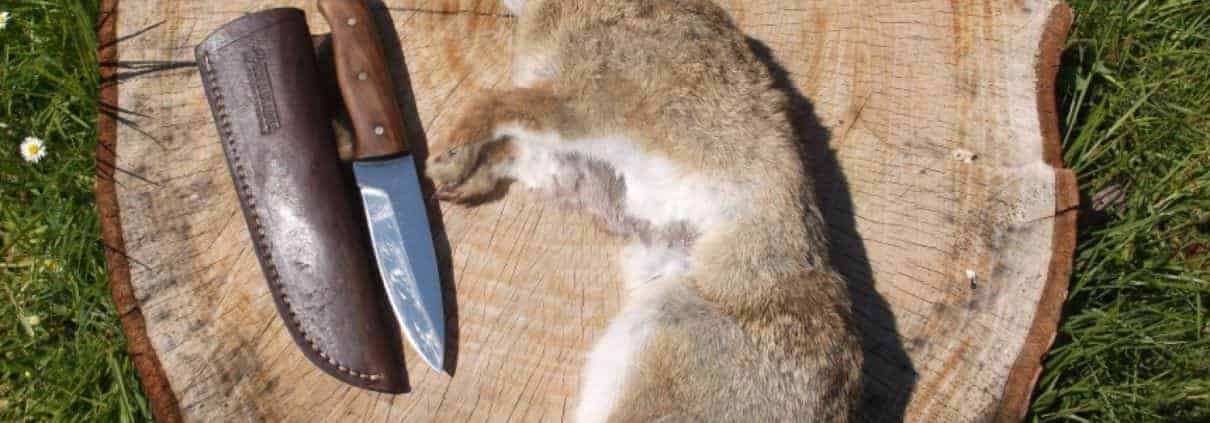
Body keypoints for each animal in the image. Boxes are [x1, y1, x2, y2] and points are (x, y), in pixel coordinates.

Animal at [425, 0, 862, 421]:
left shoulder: (582, 104)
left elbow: (496, 104)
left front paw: (445, 160)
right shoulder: (570, 159)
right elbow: (511, 151)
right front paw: (461, 184)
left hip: (666, 332)